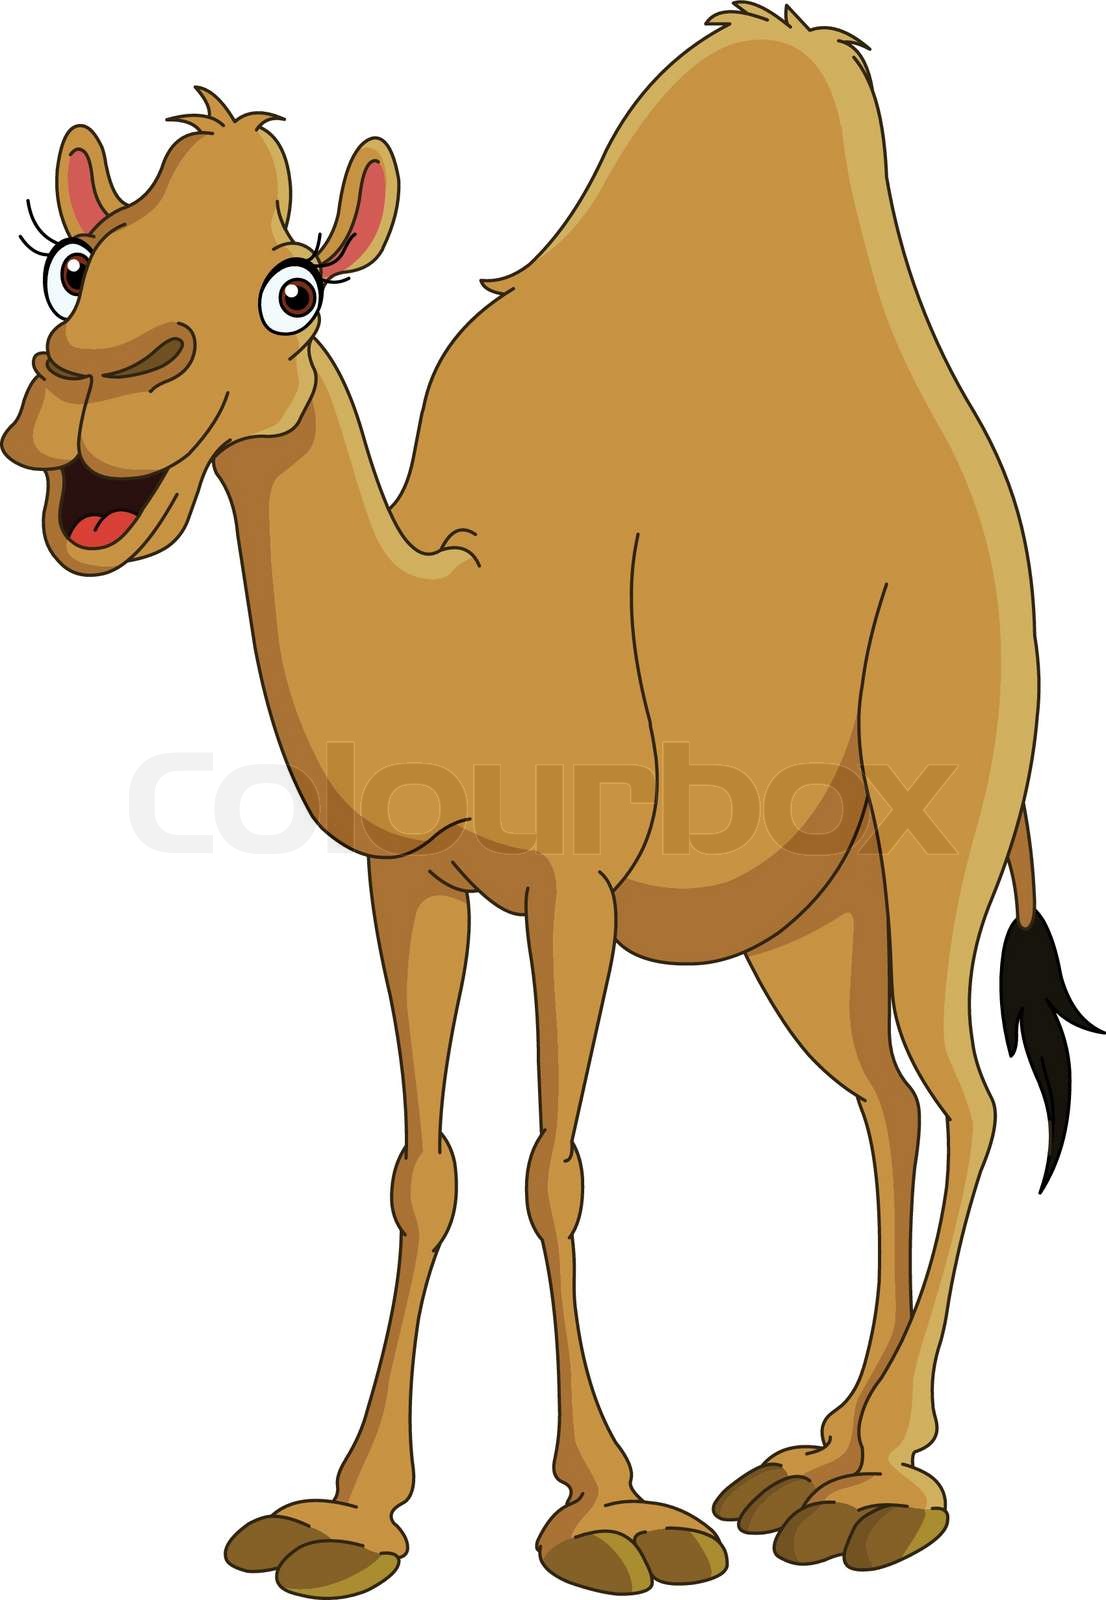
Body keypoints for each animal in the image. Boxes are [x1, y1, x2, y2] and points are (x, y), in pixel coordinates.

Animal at [4, 5, 1098, 1594]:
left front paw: (610, 1510)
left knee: (964, 1097)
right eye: (74, 263)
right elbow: (425, 1169)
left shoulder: (572, 885)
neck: (457, 630)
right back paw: (816, 1450)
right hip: (810, 921)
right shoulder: (412, 877)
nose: (90, 389)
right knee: (884, 1103)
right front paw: (349, 1513)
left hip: (940, 803)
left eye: (295, 290)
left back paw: (882, 1482)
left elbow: (552, 1167)